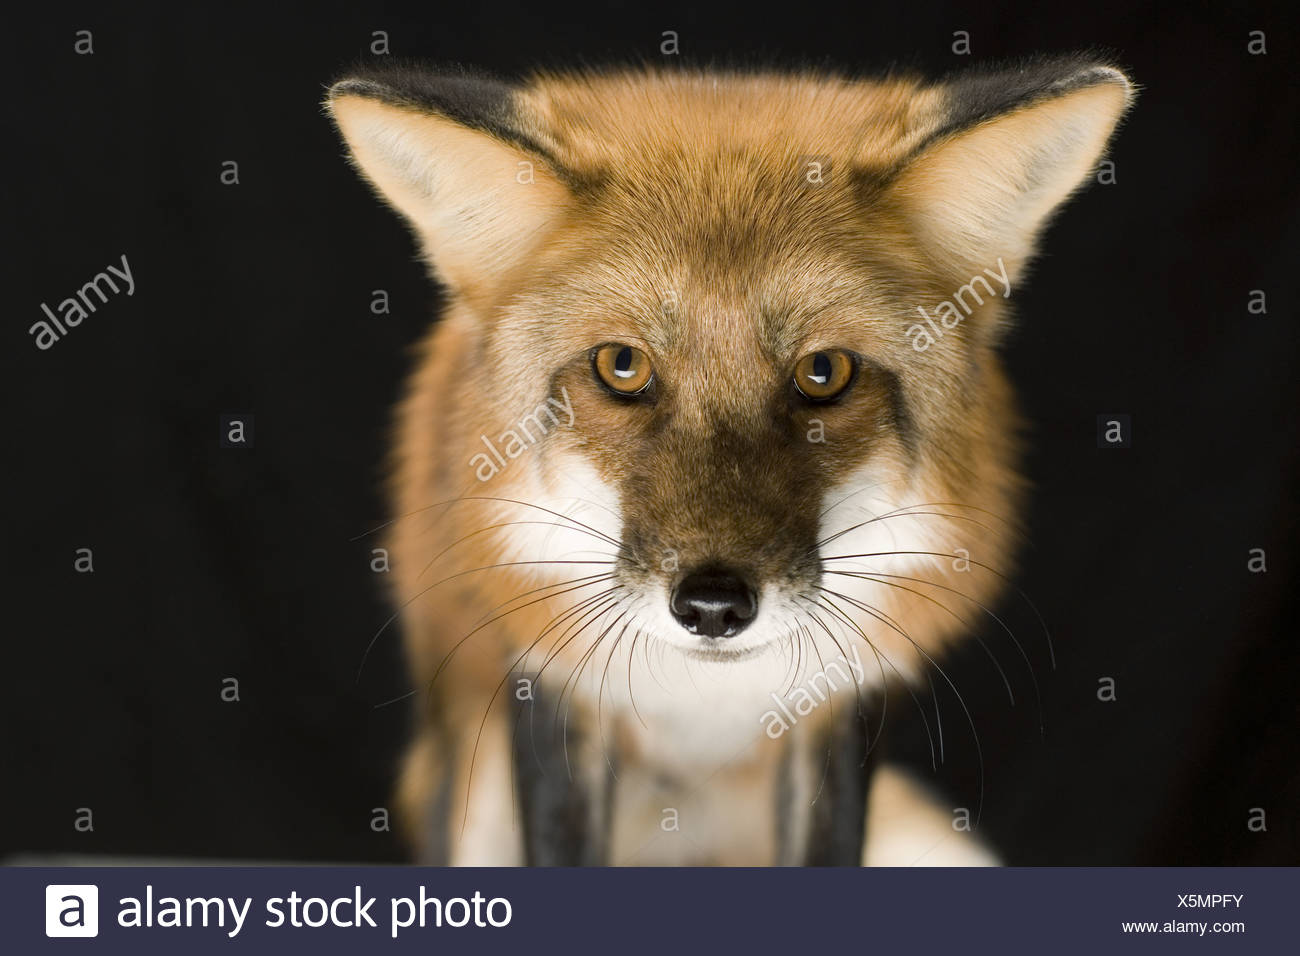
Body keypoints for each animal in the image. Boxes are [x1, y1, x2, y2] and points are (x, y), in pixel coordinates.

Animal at [325, 55, 1133, 866]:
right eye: (622, 365)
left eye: (824, 372)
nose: (713, 607)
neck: (705, 706)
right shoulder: (548, 679)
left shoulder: (842, 699)